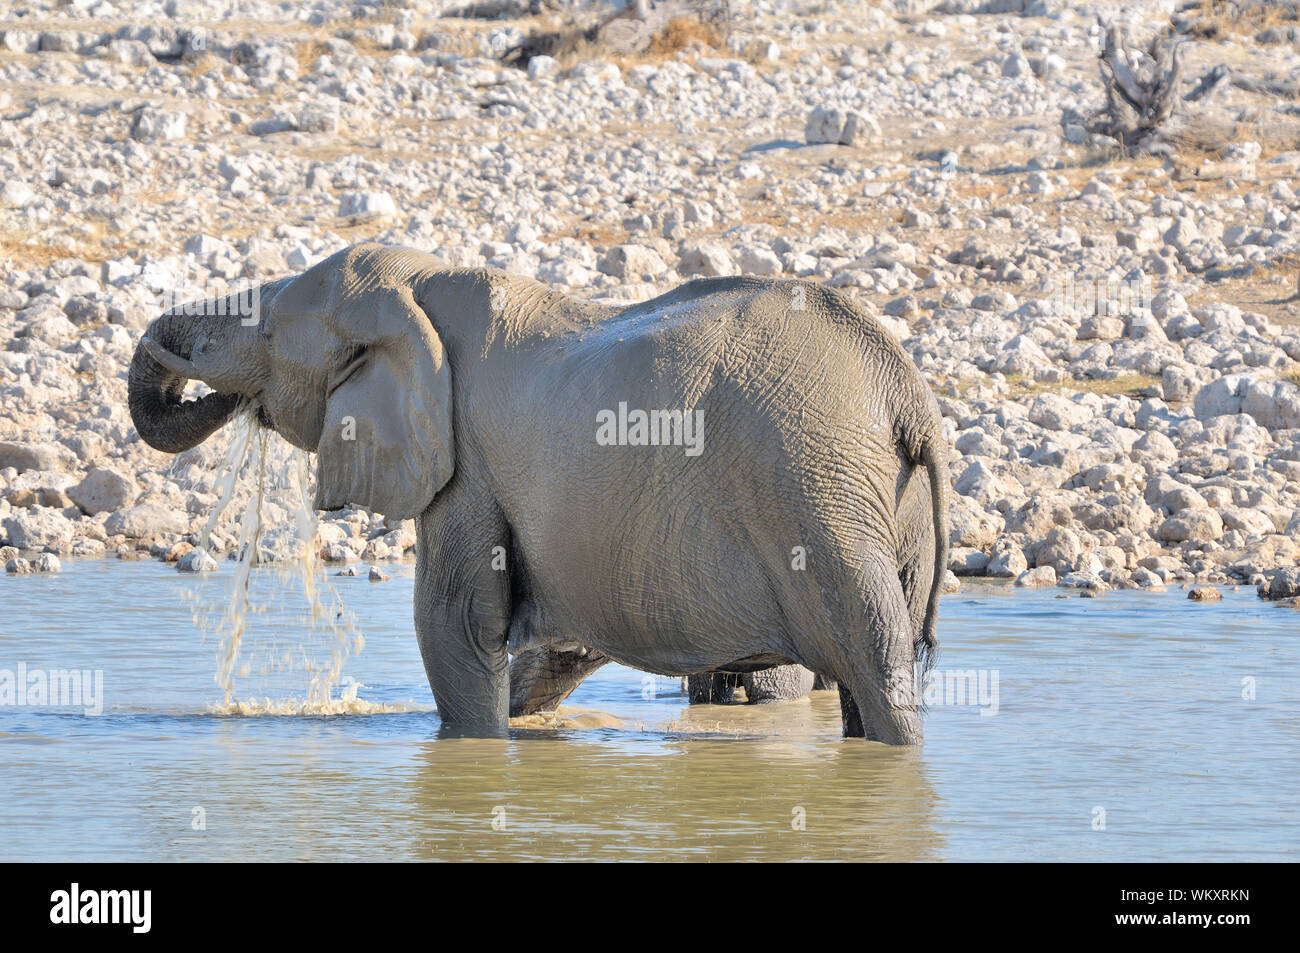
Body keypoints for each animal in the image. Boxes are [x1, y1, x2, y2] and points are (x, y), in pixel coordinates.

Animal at [128, 243, 948, 744]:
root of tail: (906, 394)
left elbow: (454, 622)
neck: (423, 286)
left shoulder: (466, 462)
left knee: (873, 661)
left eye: (267, 336)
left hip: (814, 496)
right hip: (875, 506)